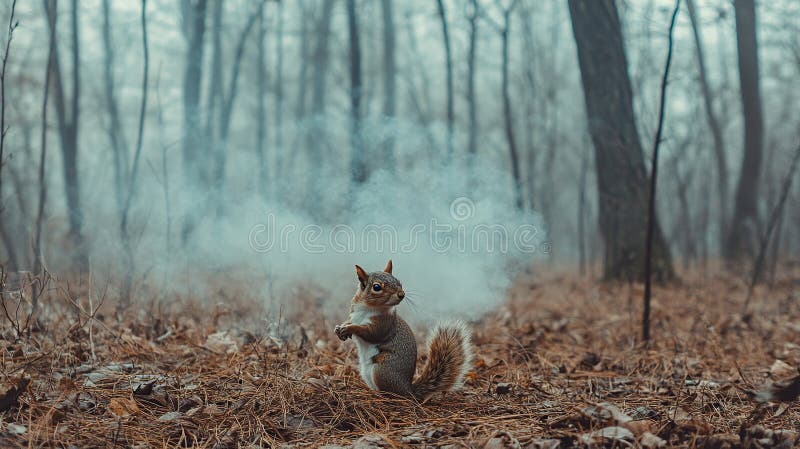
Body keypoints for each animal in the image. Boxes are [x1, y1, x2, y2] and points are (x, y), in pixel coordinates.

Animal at [334, 260, 472, 402]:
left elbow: (371, 334)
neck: (367, 308)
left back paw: (380, 396)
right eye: (377, 287)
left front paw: (350, 328)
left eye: (399, 281)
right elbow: (350, 322)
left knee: (390, 393)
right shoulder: (353, 315)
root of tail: (408, 390)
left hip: (382, 371)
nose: (402, 294)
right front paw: (340, 328)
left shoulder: (384, 325)